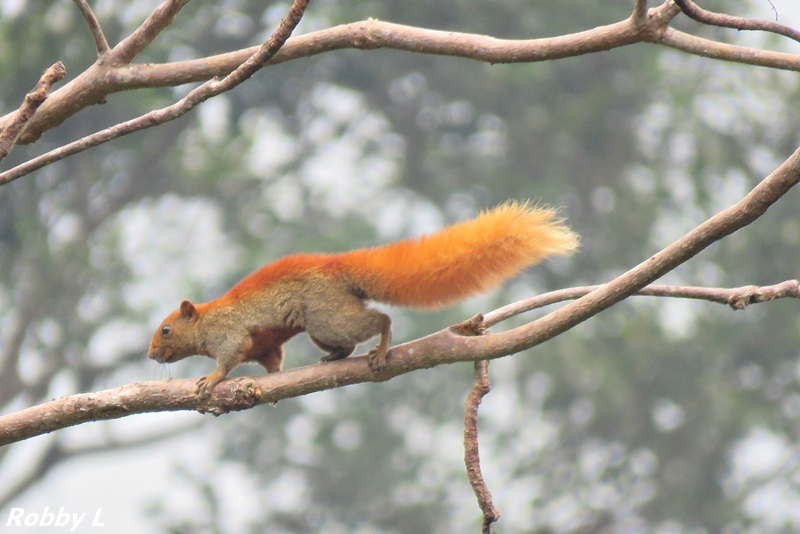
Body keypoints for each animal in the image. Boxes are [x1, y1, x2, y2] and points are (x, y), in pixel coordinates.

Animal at [148, 201, 579, 397]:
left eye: (166, 330)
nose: (151, 355)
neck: (206, 319)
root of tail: (337, 266)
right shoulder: (264, 346)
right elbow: (272, 359)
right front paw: (273, 379)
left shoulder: (229, 332)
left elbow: (229, 355)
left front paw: (212, 379)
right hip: (323, 327)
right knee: (349, 340)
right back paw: (335, 358)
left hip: (326, 318)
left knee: (378, 321)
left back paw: (382, 349)